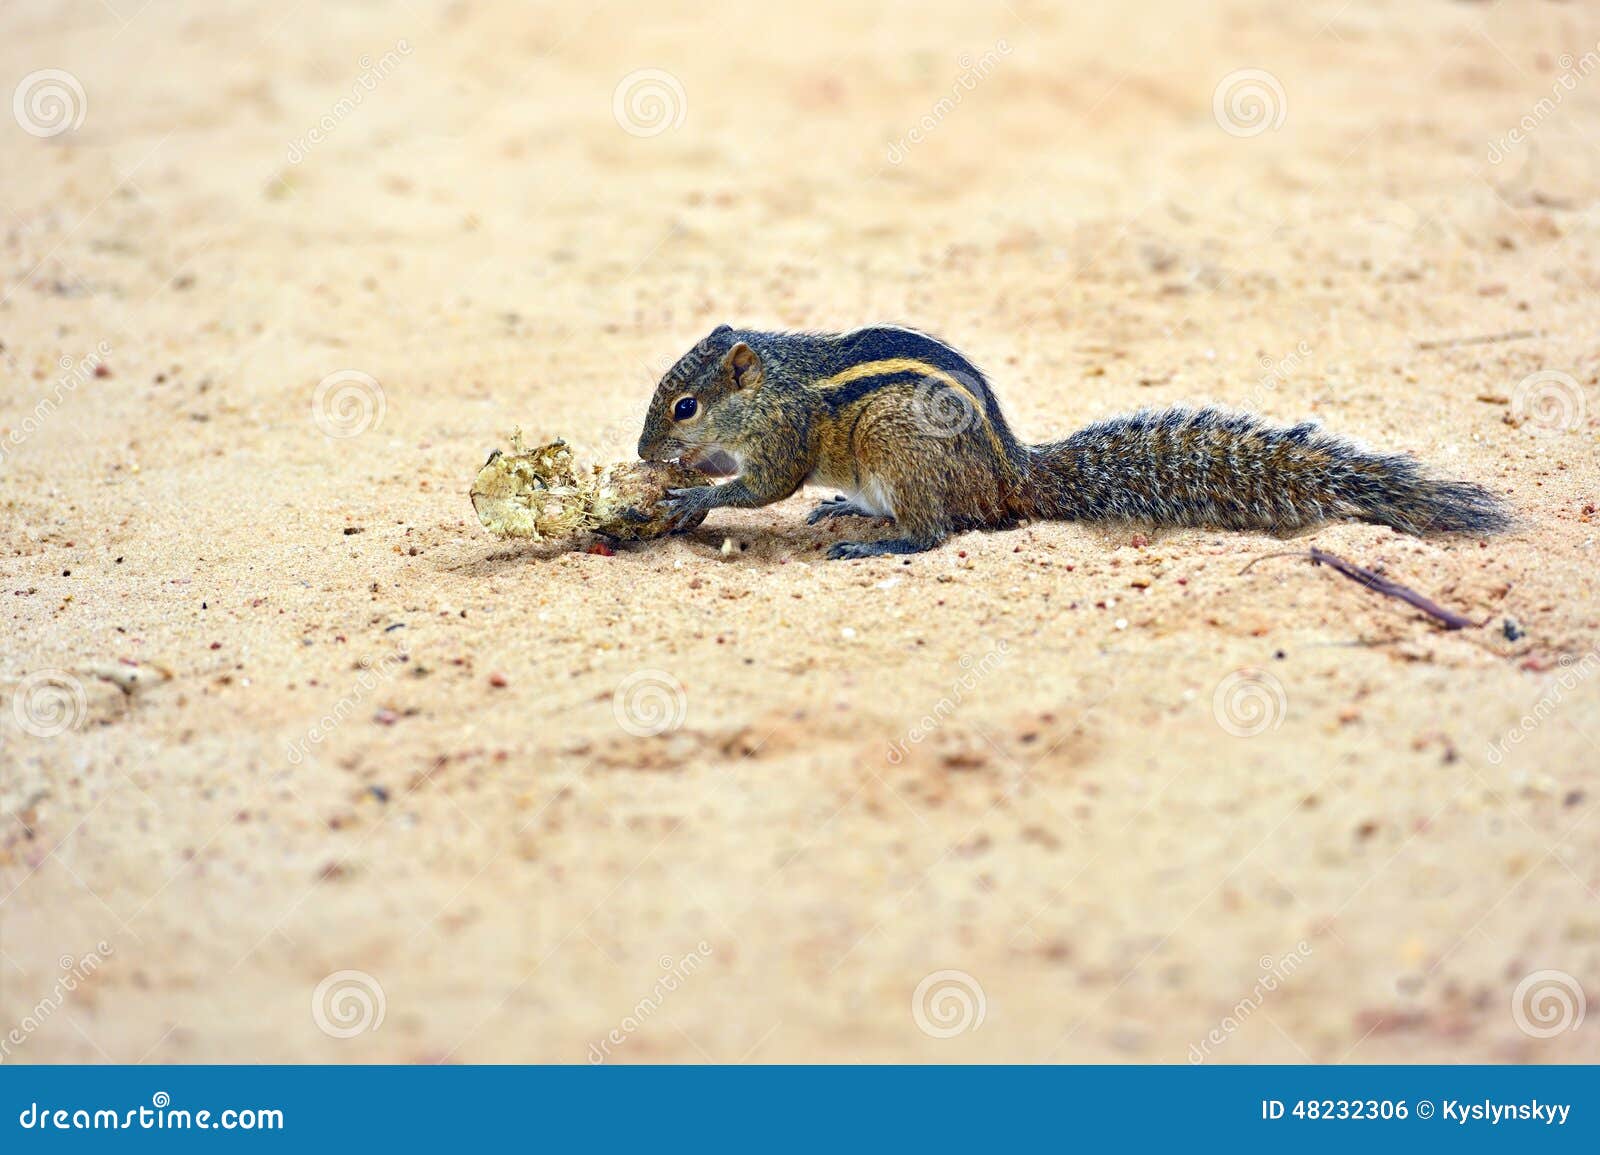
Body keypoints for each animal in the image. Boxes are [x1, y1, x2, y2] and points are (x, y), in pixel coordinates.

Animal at [636, 325, 1510, 559]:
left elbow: (766, 486)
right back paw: (846, 513)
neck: (775, 382)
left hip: (901, 450)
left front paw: (691, 490)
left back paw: (877, 540)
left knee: (937, 530)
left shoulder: (782, 438)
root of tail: (1013, 474)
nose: (645, 454)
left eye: (684, 405)